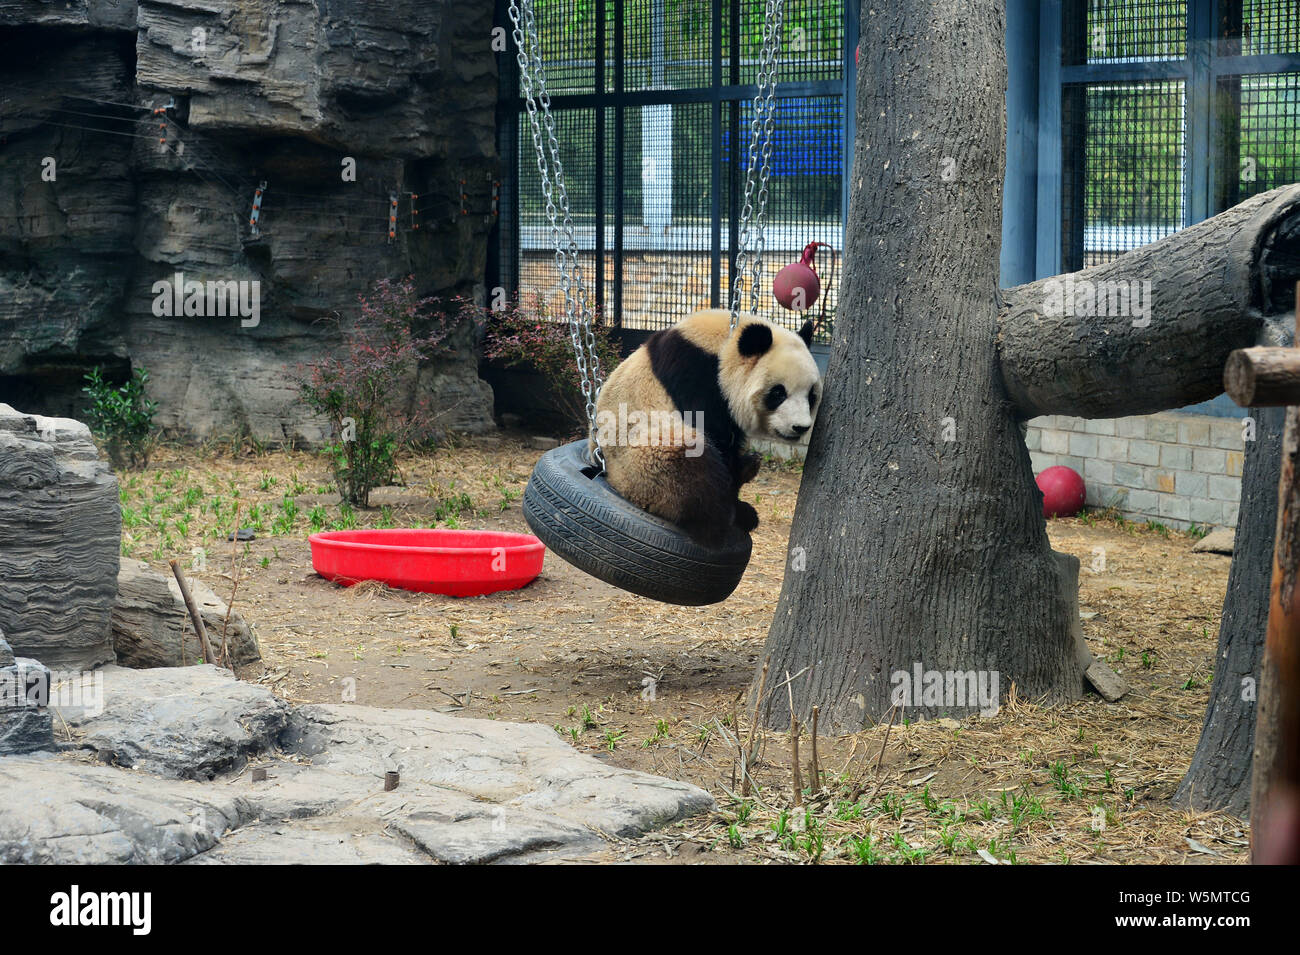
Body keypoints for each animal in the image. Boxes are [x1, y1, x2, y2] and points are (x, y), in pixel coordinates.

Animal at [592, 308, 822, 547]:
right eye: (778, 393)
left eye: (811, 395)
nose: (800, 427)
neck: (723, 344)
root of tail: (614, 481)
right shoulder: (694, 375)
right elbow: (713, 434)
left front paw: (742, 467)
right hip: (641, 469)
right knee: (689, 467)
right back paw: (725, 520)